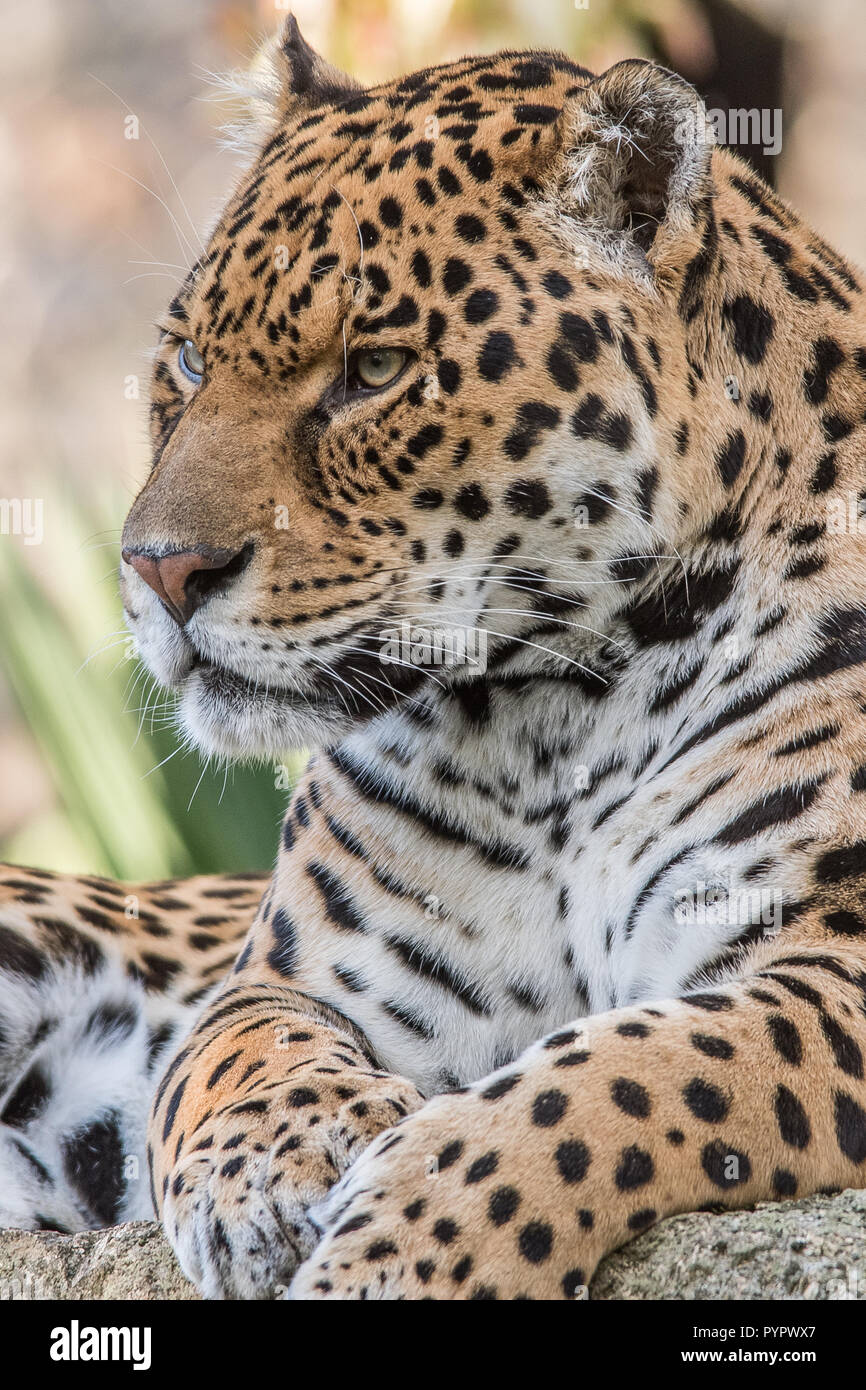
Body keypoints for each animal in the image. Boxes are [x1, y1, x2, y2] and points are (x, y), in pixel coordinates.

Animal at [4, 13, 866, 1301]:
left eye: (373, 370)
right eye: (191, 361)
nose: (158, 571)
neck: (553, 717)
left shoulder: (833, 967)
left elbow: (609, 1083)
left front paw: (395, 1257)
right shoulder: (292, 972)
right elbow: (234, 1049)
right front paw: (276, 1161)